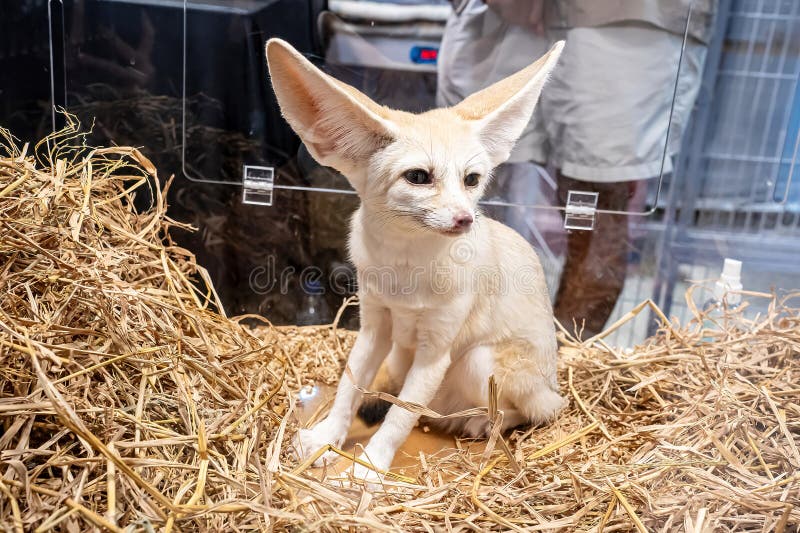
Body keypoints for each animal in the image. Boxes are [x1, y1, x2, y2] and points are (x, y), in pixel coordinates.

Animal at [265, 38, 566, 483]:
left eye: (471, 180)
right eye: (419, 177)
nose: (465, 219)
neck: (405, 270)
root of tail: (554, 386)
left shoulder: (435, 350)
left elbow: (401, 418)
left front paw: (371, 467)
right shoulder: (374, 327)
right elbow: (348, 389)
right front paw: (326, 437)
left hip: (480, 363)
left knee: (529, 413)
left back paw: (479, 422)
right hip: (401, 355)